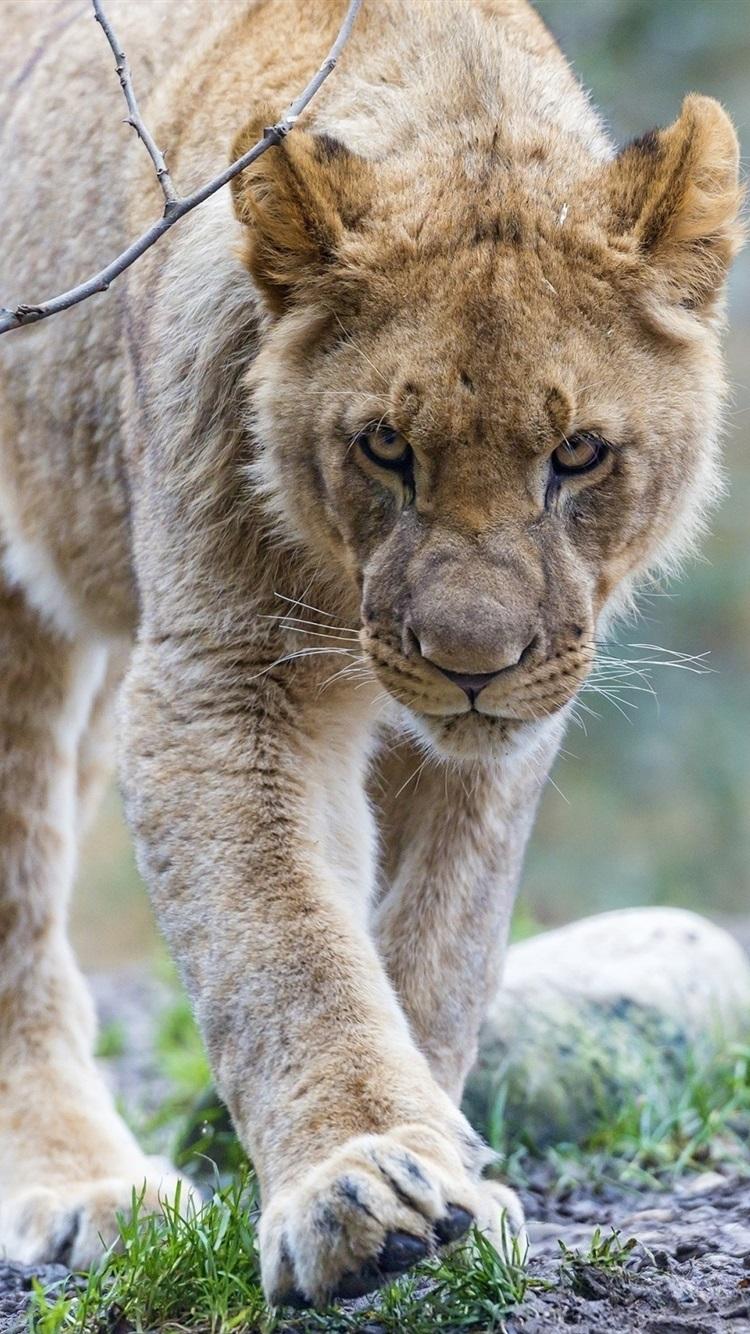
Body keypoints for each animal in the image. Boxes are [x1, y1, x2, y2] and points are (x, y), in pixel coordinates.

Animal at [0, 0, 743, 1308]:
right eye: (386, 445)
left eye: (580, 454)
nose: (471, 661)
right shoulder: (221, 681)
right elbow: (284, 943)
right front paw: (357, 1183)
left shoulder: (503, 733)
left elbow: (440, 946)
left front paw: (458, 1188)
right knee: (23, 903)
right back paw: (81, 1181)